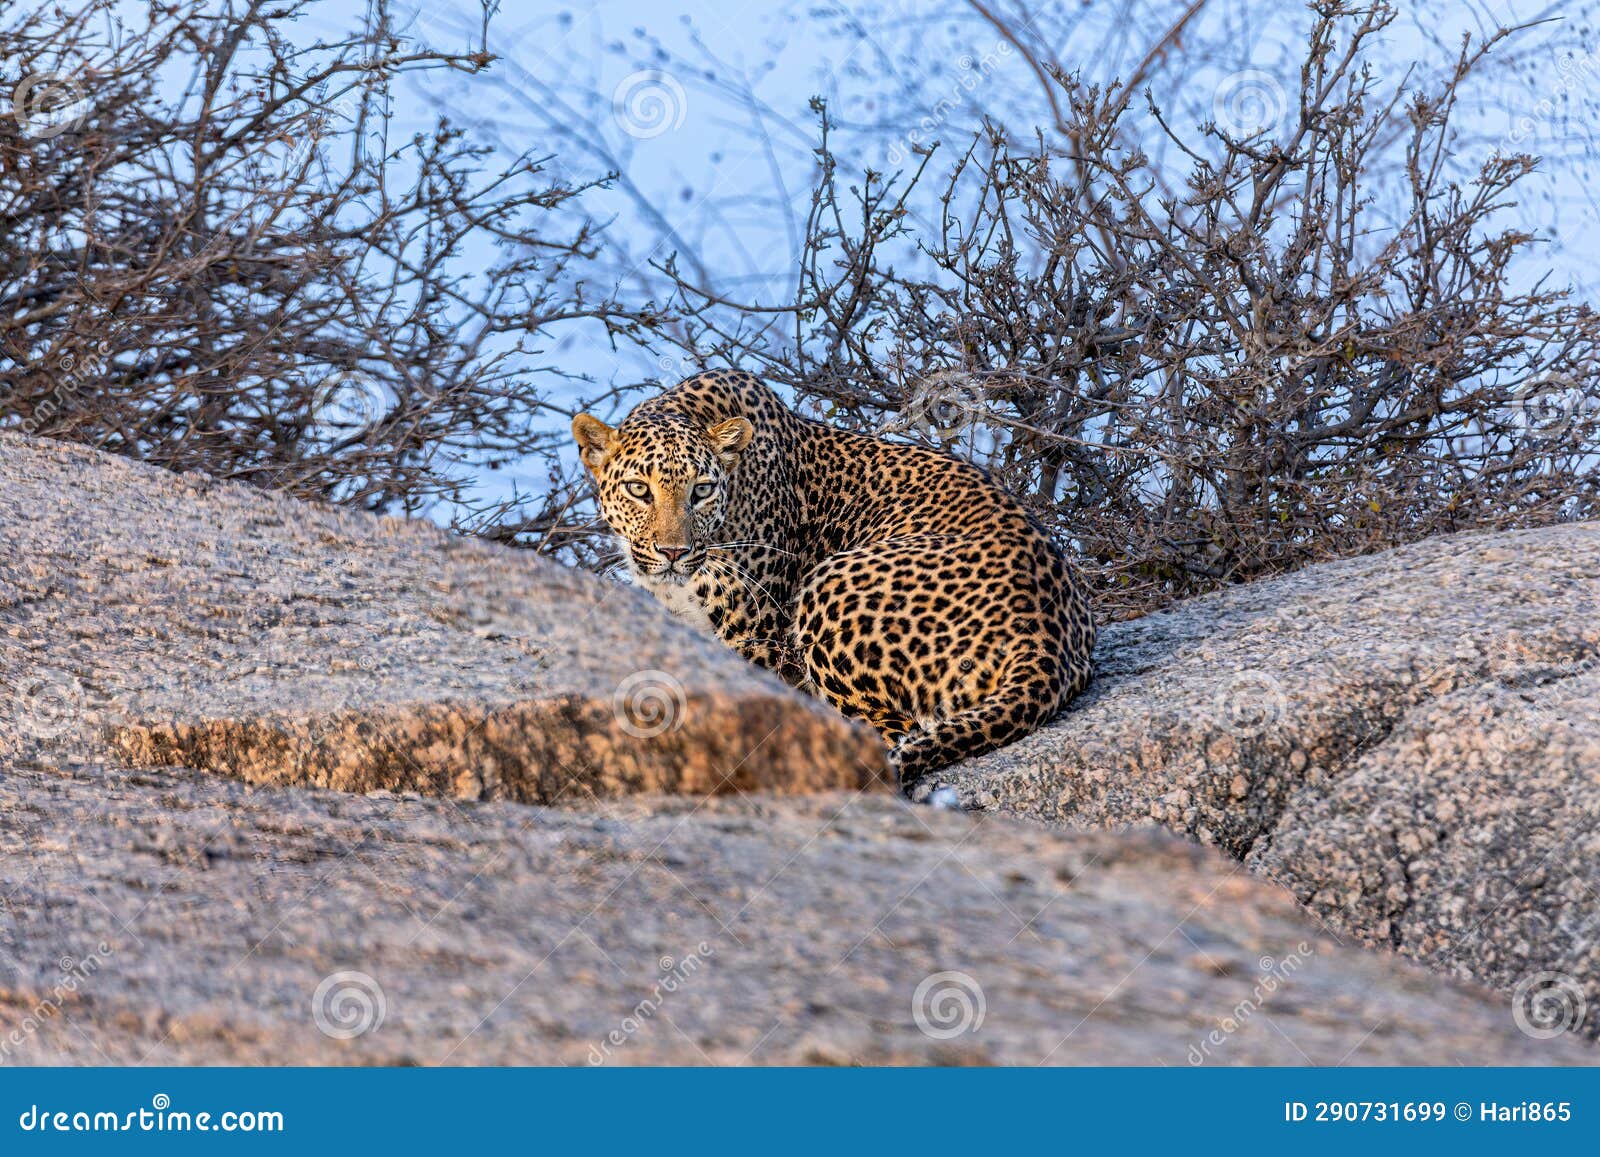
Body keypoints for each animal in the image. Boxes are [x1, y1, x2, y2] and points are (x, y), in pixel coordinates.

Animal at [572, 368, 1095, 787]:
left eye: (701, 491)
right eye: (638, 489)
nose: (674, 552)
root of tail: (1048, 641)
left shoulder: (756, 639)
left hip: (828, 586)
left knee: (888, 730)